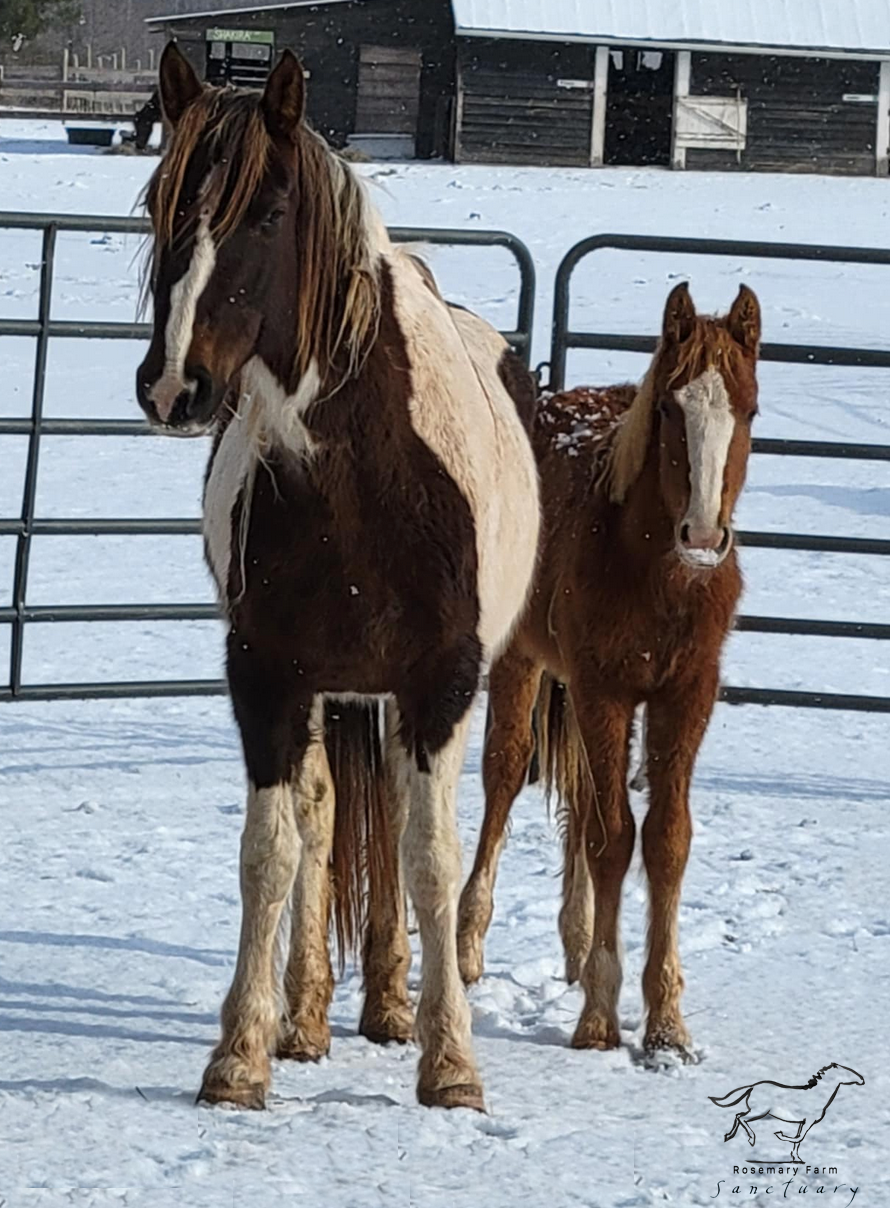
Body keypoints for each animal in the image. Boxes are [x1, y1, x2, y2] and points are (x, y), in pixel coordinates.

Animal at [136, 44, 540, 1112]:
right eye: (158, 198)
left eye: (269, 212)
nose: (173, 385)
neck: (361, 474)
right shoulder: (266, 676)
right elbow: (272, 852)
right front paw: (241, 1055)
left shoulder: (441, 682)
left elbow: (430, 860)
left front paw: (452, 1064)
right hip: (331, 690)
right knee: (324, 821)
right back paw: (311, 1015)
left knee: (398, 825)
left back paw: (395, 1007)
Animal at [457, 282, 761, 1056]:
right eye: (669, 409)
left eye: (748, 410)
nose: (704, 536)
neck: (659, 573)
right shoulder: (606, 692)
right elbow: (611, 836)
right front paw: (599, 1015)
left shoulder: (686, 695)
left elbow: (666, 839)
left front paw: (666, 1022)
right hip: (524, 662)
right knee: (507, 772)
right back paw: (470, 944)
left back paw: (574, 942)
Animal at [709, 1064, 865, 1161]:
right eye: (846, 1070)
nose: (862, 1080)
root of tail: (752, 1086)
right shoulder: (809, 1122)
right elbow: (799, 1138)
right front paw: (779, 1134)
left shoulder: (802, 1123)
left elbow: (798, 1140)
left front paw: (796, 1158)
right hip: (760, 1112)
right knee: (741, 1118)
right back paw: (751, 1139)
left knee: (738, 1116)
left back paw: (728, 1136)